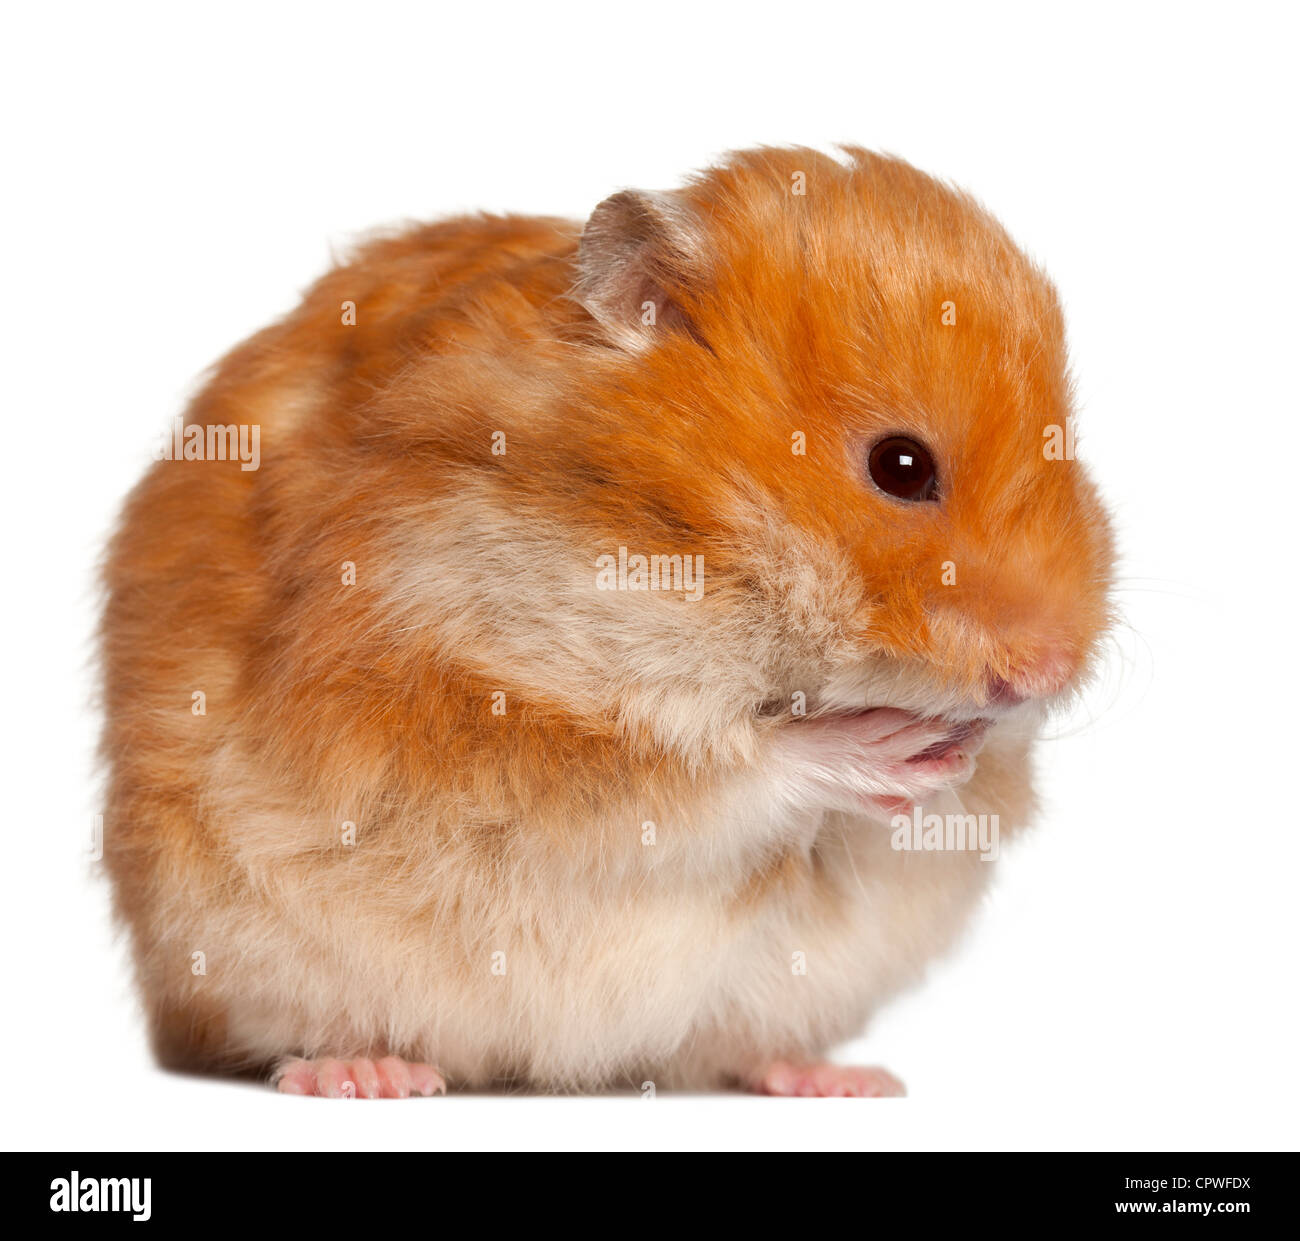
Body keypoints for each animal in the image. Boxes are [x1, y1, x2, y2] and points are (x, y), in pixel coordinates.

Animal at [99, 146, 1113, 1097]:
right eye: (901, 465)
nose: (1049, 671)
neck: (697, 553)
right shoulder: (446, 695)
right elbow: (704, 771)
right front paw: (886, 746)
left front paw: (952, 757)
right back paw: (369, 1073)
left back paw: (844, 1080)